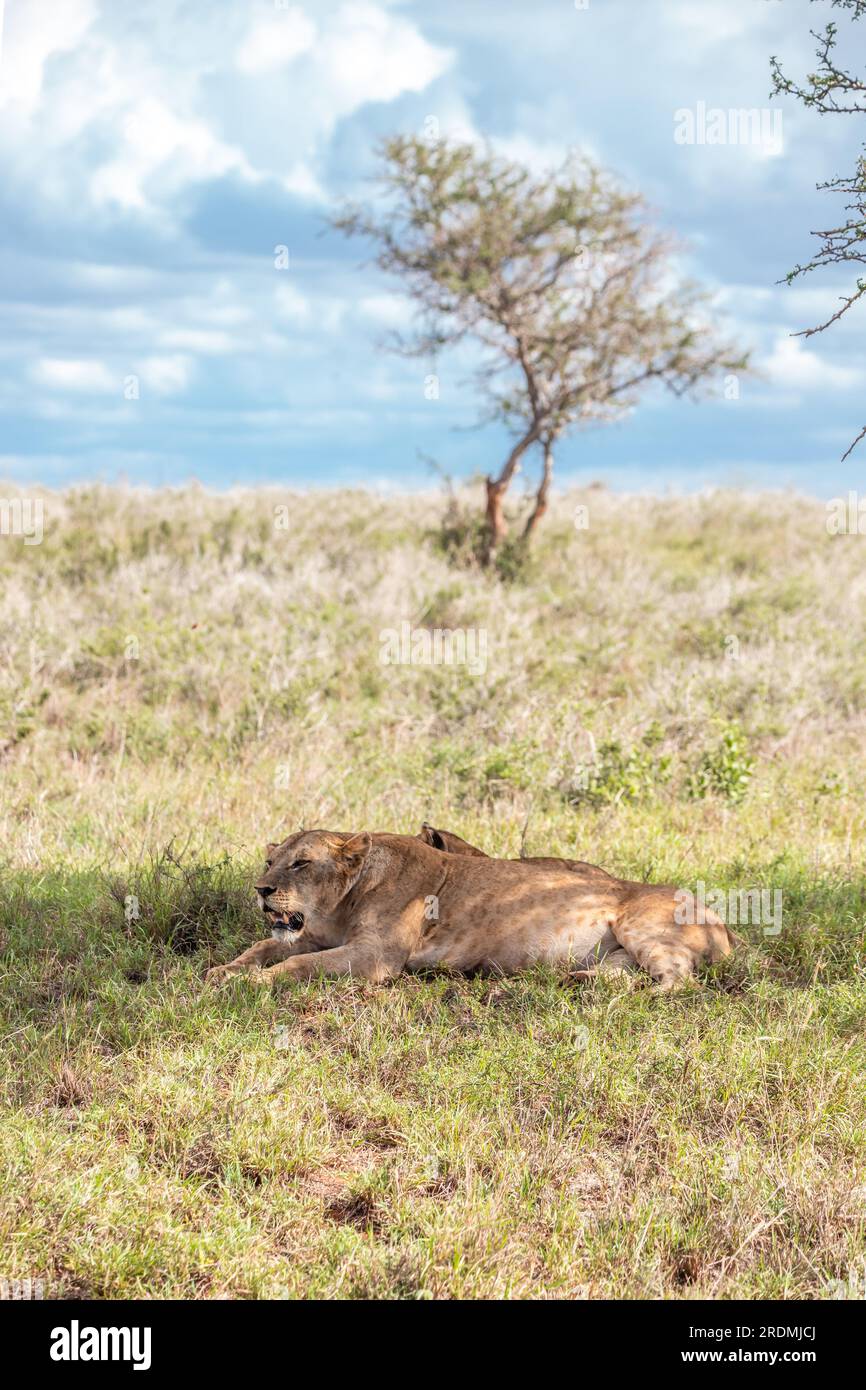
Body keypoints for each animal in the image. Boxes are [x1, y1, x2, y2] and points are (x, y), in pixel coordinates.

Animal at [205, 828, 733, 990]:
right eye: (270, 861)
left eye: (301, 863)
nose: (261, 889)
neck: (341, 902)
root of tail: (726, 925)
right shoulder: (315, 934)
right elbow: (261, 948)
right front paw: (223, 970)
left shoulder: (376, 957)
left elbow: (298, 965)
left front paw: (251, 983)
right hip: (620, 950)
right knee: (624, 971)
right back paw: (579, 981)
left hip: (640, 926)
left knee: (679, 980)